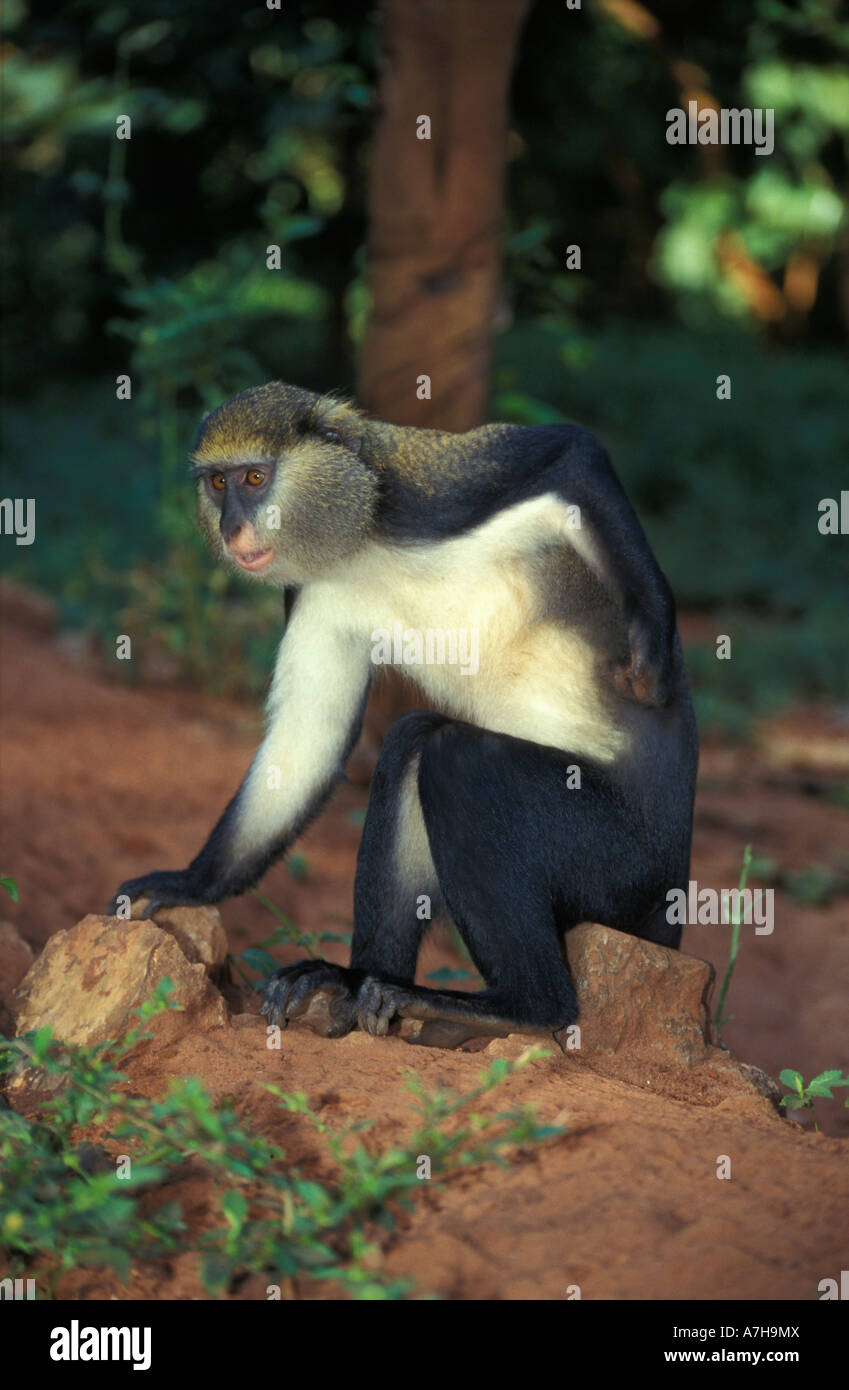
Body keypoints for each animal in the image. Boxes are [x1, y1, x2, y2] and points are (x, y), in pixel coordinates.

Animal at [110, 381, 698, 1049]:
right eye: (217, 484)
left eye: (255, 478)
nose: (233, 529)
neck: (359, 537)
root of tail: (669, 910)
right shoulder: (311, 591)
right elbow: (307, 744)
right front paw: (191, 882)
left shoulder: (437, 493)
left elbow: (572, 450)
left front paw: (652, 637)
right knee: (413, 743)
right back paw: (356, 982)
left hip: (620, 869)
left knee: (458, 758)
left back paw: (524, 1007)